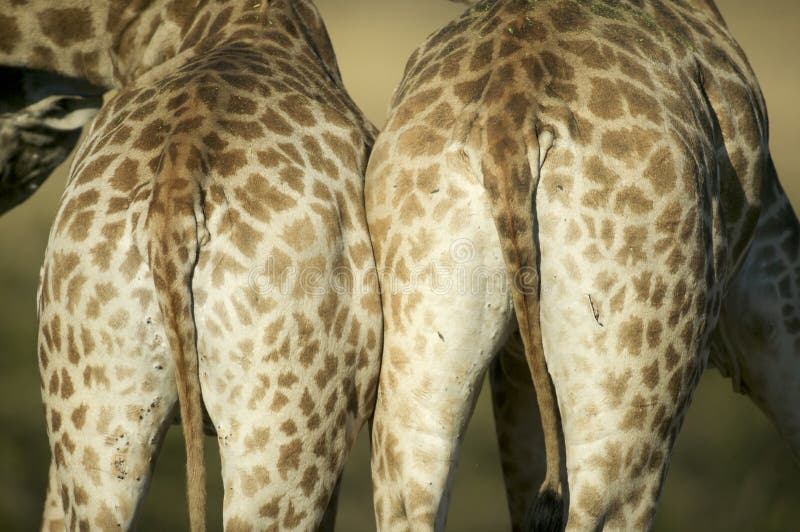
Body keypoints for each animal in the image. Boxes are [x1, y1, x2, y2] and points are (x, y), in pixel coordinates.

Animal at [364, 0, 799, 530]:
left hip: (421, 356)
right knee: (603, 506)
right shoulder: (771, 257)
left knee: (413, 492)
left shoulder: (515, 370)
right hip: (639, 384)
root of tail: (507, 118)